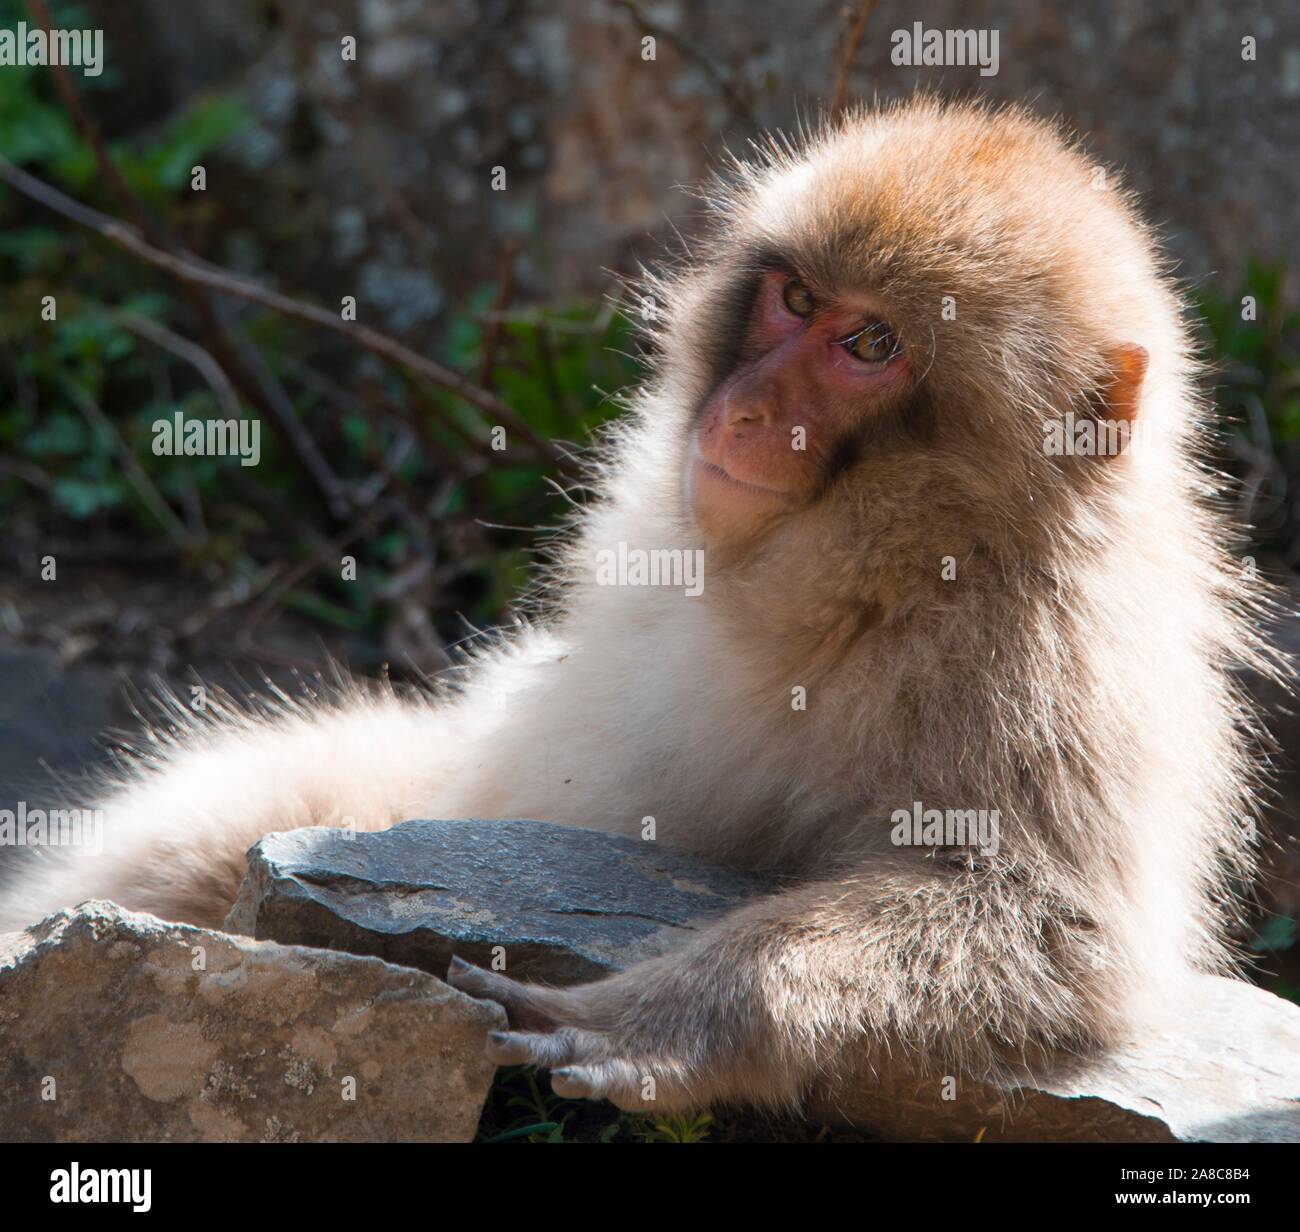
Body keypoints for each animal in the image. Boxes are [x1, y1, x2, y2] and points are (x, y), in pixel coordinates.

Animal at [0, 97, 1277, 1117]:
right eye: (794, 297)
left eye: (870, 343)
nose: (746, 411)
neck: (901, 559)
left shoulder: (1044, 656)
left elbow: (1048, 923)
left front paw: (668, 1021)